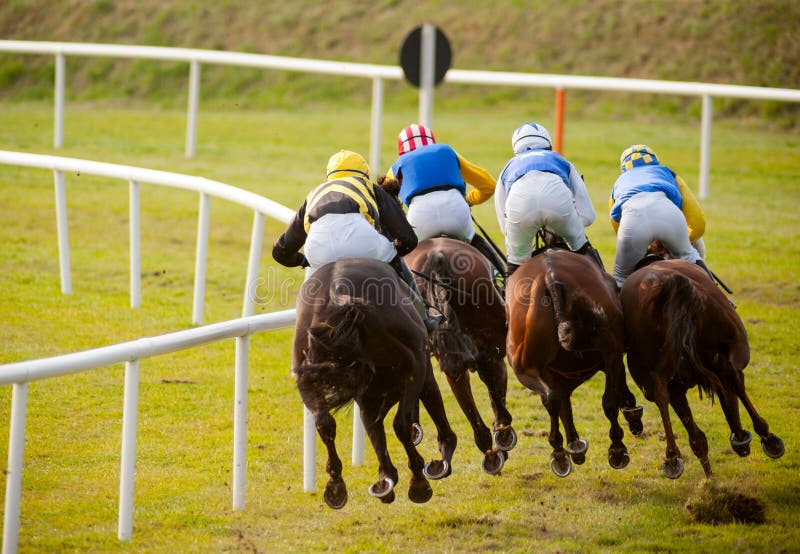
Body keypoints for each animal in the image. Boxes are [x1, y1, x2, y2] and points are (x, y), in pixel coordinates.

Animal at [292, 258, 457, 508]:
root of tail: (339, 293)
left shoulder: (368, 392)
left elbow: (372, 426)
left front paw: (386, 479)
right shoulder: (419, 365)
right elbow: (426, 399)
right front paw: (443, 454)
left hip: (305, 374)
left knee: (324, 423)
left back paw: (336, 486)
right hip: (414, 362)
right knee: (401, 422)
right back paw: (419, 481)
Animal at [505, 238, 643, 477]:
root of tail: (550, 277)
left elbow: (562, 404)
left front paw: (574, 446)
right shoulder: (610, 356)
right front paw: (632, 414)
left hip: (523, 367)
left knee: (552, 399)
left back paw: (561, 453)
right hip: (608, 348)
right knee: (602, 401)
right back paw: (613, 449)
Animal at [619, 258, 785, 479]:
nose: (742, 448)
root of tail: (670, 284)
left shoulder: (678, 387)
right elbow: (731, 391)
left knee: (664, 396)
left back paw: (674, 459)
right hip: (734, 346)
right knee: (733, 378)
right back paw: (764, 438)